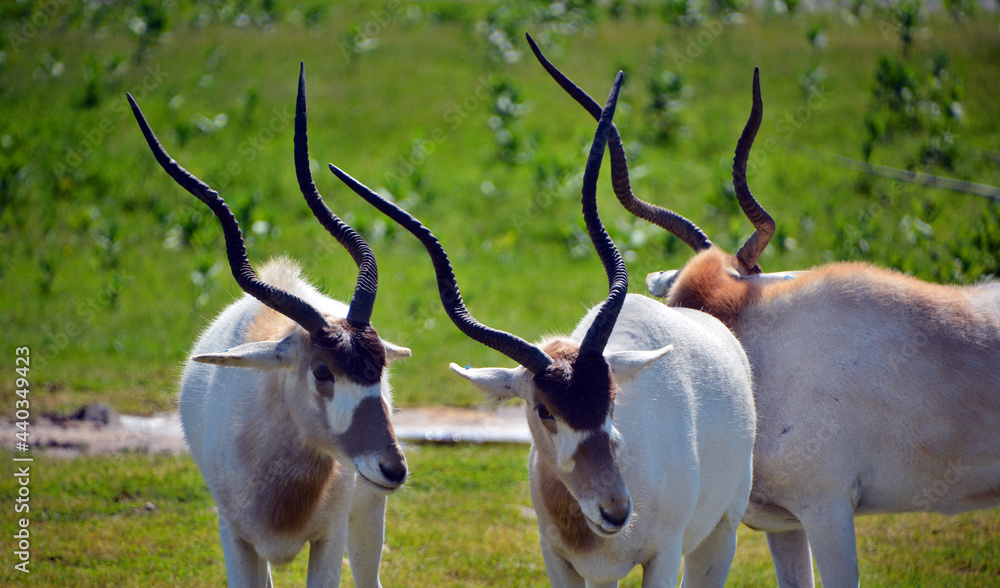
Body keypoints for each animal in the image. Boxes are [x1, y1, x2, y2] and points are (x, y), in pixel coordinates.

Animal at [128, 64, 410, 587]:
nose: (393, 467)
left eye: (380, 367)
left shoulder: (330, 538)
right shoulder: (235, 538)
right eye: (321, 371)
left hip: (367, 513)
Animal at [331, 73, 756, 587]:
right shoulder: (559, 558)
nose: (615, 509)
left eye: (612, 399)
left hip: (721, 531)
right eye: (544, 409)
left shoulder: (665, 554)